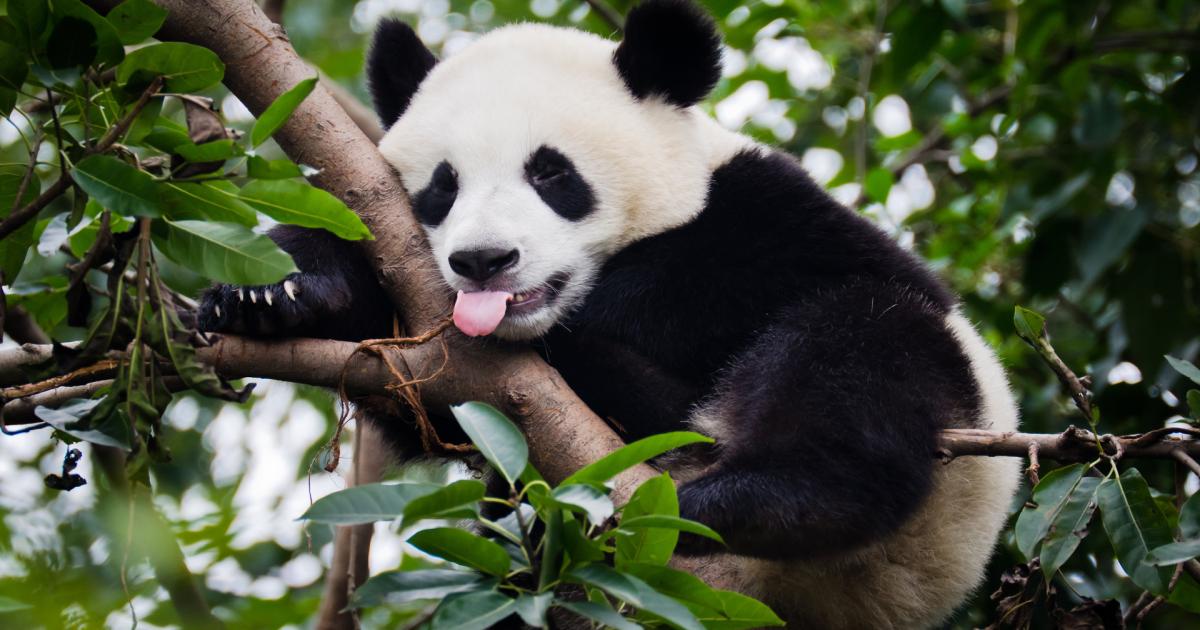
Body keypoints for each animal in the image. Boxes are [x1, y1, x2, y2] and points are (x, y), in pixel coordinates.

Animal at [199, 0, 1021, 627]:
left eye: (551, 174)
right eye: (442, 186)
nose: (484, 261)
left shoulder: (767, 213)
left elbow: (730, 275)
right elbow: (408, 378)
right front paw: (268, 296)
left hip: (933, 507)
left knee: (862, 348)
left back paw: (753, 499)